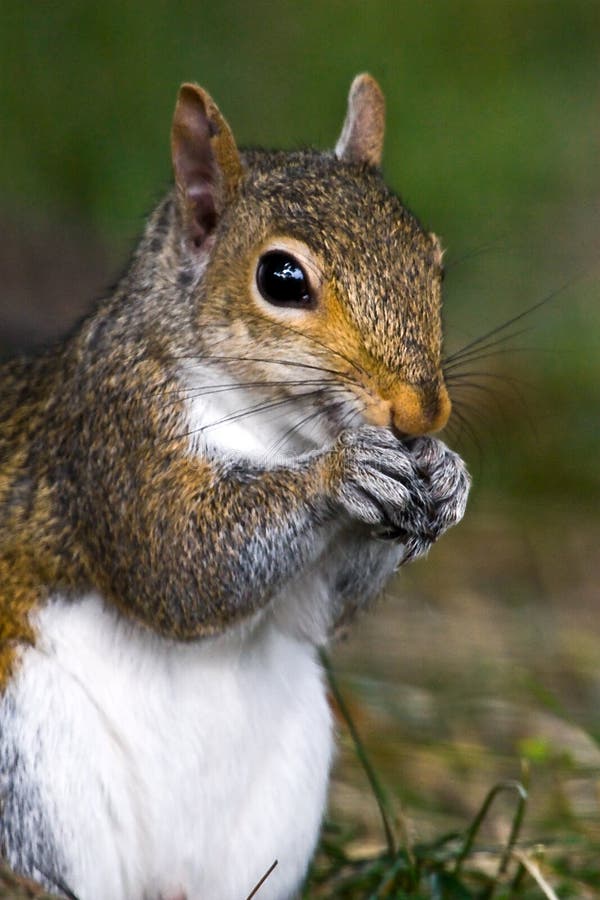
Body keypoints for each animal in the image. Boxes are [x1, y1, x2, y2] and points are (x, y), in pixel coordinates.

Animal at [0, 74, 470, 900]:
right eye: (281, 279)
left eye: (432, 260)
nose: (422, 413)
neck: (275, 431)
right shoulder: (111, 435)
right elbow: (182, 566)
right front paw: (342, 473)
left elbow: (319, 612)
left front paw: (447, 474)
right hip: (30, 768)